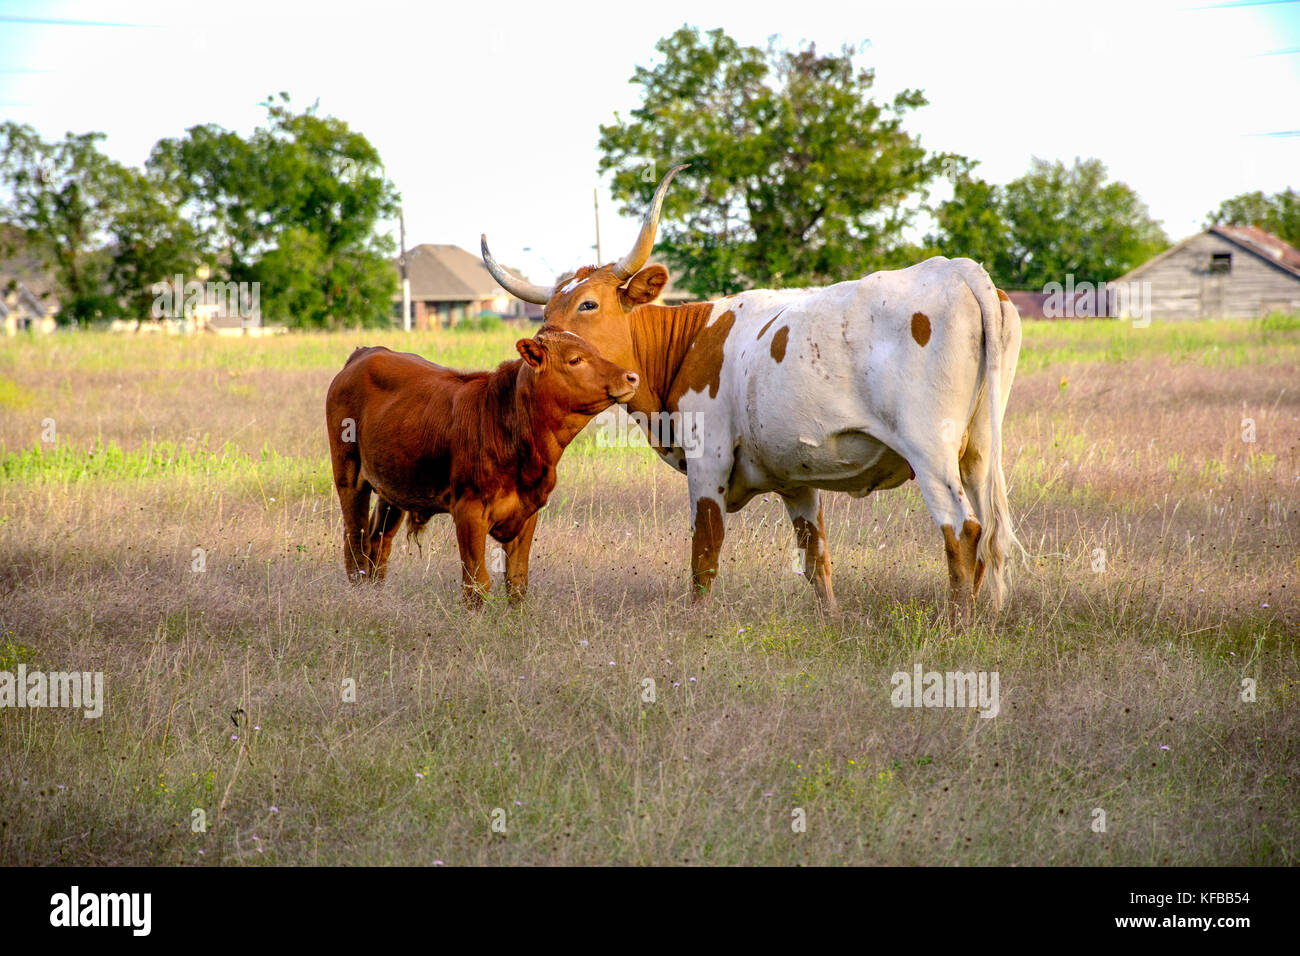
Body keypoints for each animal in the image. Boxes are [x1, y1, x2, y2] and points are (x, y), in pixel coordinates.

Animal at [325, 329, 639, 607]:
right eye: (575, 359)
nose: (631, 377)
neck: (505, 422)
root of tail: (365, 353)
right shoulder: (469, 512)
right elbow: (476, 584)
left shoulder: (527, 514)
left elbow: (517, 582)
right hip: (349, 478)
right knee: (355, 543)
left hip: (393, 489)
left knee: (379, 543)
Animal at [480, 165, 1023, 624]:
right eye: (548, 307)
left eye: (589, 304)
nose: (539, 345)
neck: (688, 343)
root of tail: (960, 270)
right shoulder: (796, 481)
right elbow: (815, 558)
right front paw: (831, 621)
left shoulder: (708, 462)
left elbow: (704, 553)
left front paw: (697, 622)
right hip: (977, 450)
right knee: (988, 531)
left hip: (930, 449)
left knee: (962, 529)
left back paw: (955, 625)